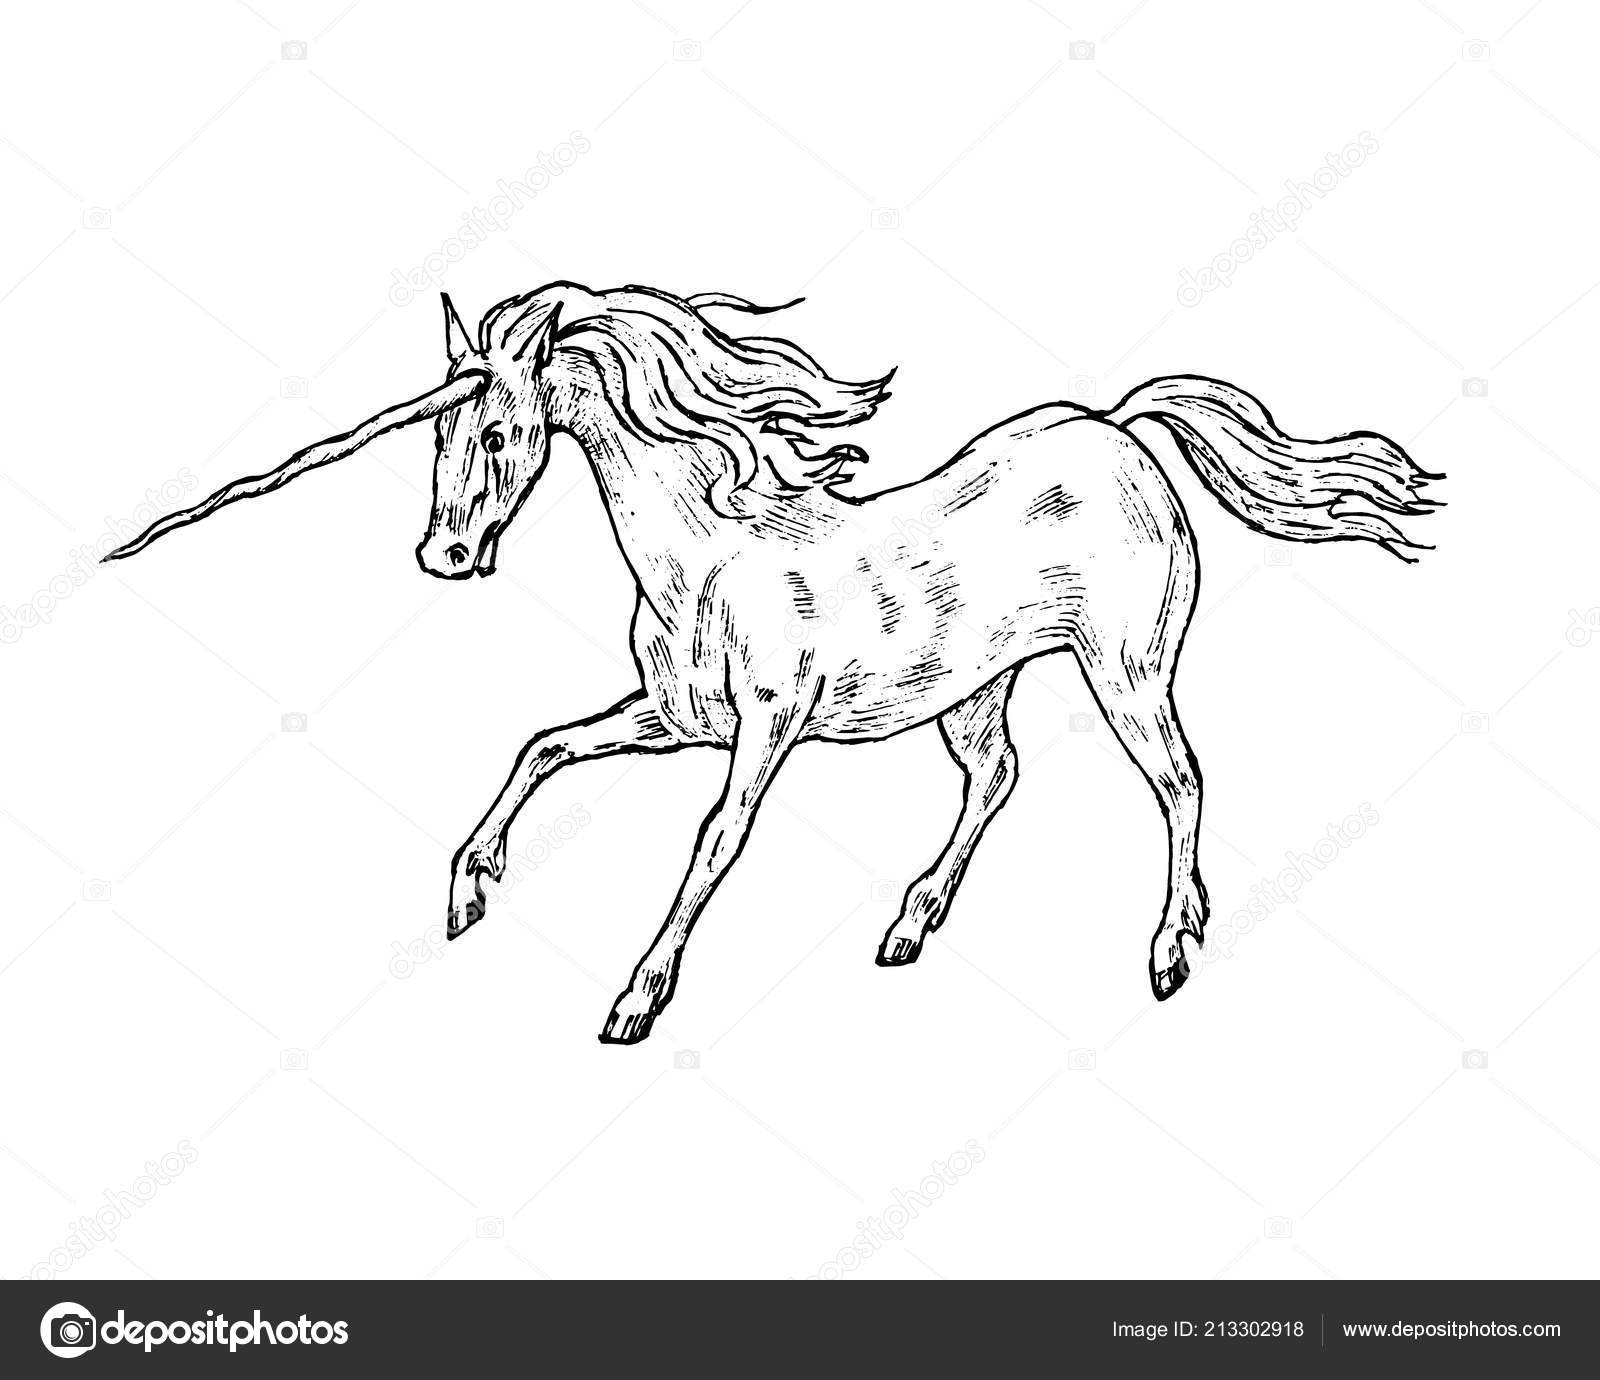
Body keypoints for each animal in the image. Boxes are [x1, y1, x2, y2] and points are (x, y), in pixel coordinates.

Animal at [106, 281, 1440, 1043]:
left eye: (498, 430)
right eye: (439, 433)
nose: (444, 555)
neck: (705, 554)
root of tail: (1117, 429)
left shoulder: (761, 735)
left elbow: (710, 845)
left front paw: (632, 1005)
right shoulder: (667, 717)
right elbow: (541, 746)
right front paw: (466, 893)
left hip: (1126, 668)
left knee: (1178, 782)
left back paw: (1168, 954)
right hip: (977, 690)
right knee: (999, 778)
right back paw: (907, 929)